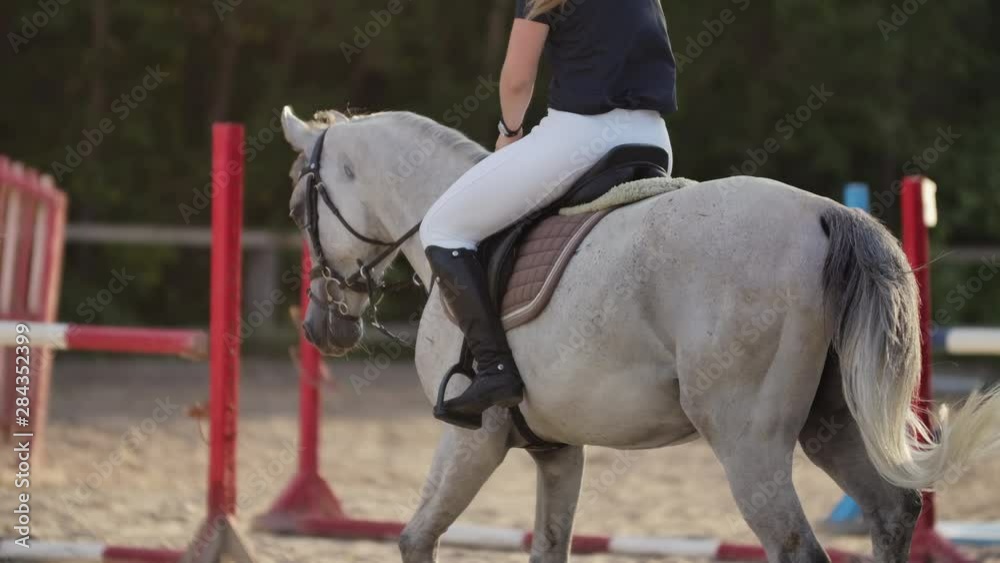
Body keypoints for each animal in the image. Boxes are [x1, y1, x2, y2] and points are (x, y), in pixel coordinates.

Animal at [278, 105, 1000, 563]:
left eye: (295, 207)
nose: (322, 327)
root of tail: (824, 213)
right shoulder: (556, 449)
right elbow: (549, 547)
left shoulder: (472, 439)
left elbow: (414, 539)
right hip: (832, 423)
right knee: (893, 511)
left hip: (748, 444)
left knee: (797, 546)